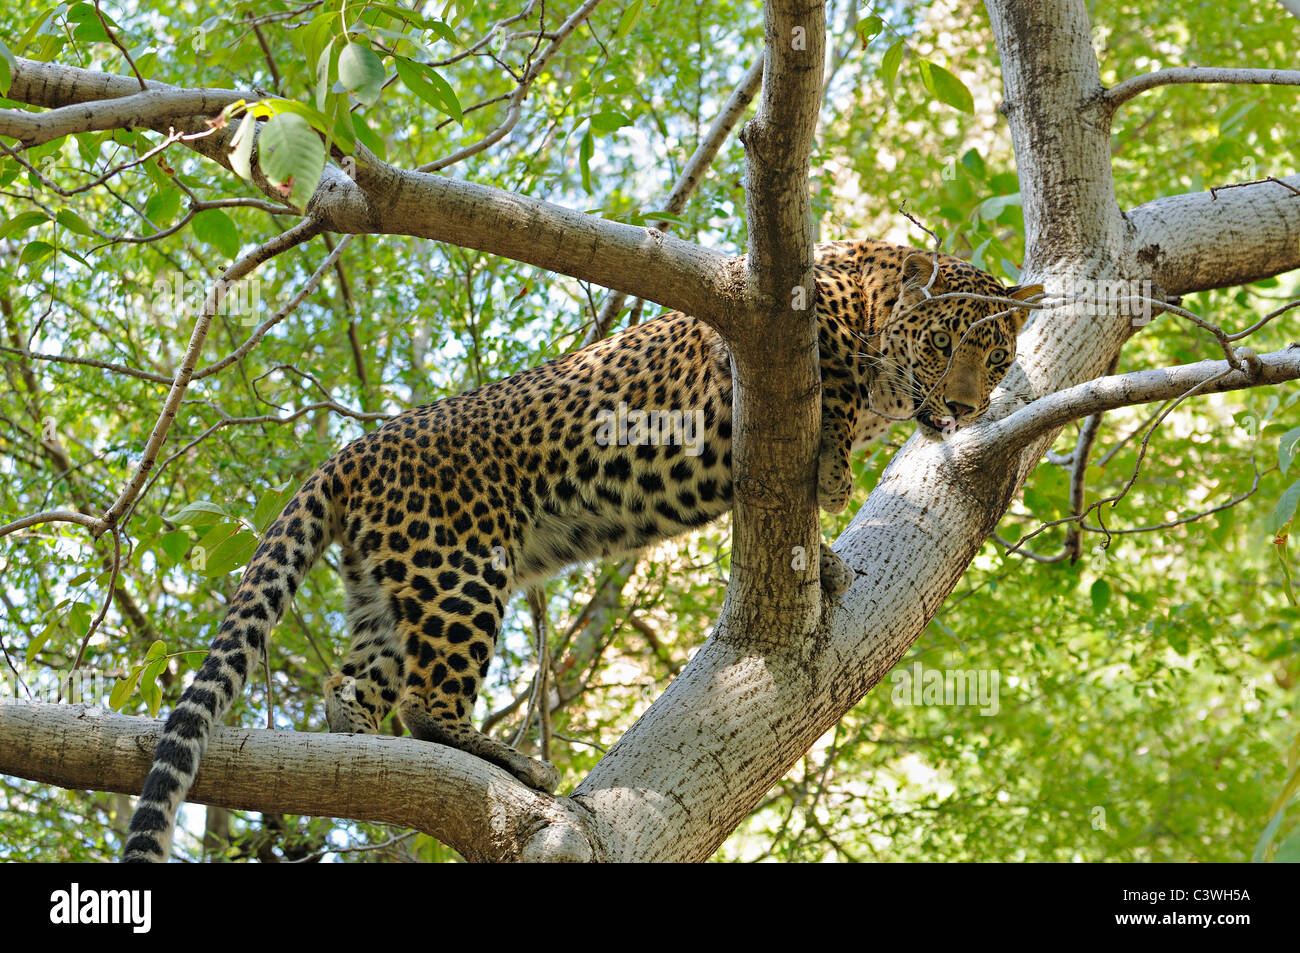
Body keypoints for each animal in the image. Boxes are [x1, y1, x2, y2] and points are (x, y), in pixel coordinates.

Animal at [122, 239, 1040, 862]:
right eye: (942, 344)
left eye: (998, 355)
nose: (966, 406)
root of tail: (357, 449)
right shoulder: (758, 342)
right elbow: (832, 392)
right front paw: (836, 469)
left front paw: (835, 558)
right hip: (460, 572)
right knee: (427, 697)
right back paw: (504, 758)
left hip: (388, 584)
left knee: (353, 684)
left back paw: (367, 747)